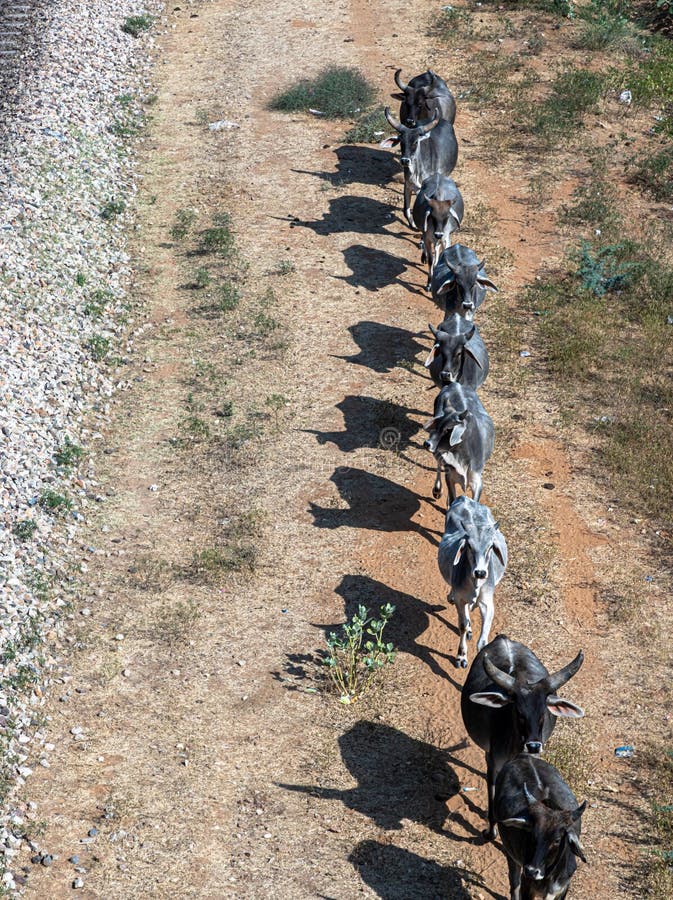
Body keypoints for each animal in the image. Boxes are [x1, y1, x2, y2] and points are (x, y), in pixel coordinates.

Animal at [437, 496, 507, 669]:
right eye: (469, 545)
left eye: (490, 547)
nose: (480, 572)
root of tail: (465, 498)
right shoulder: (461, 599)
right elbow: (462, 625)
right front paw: (461, 656)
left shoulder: (487, 603)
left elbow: (483, 641)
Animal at [461, 635, 584, 840]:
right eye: (519, 712)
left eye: (543, 713)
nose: (533, 746)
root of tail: (503, 638)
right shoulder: (494, 761)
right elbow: (492, 796)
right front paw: (490, 832)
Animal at [495, 754, 587, 900]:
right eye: (532, 834)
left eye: (557, 840)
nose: (532, 871)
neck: (549, 874)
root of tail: (526, 756)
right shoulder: (527, 886)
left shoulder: (562, 889)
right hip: (512, 857)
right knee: (514, 883)